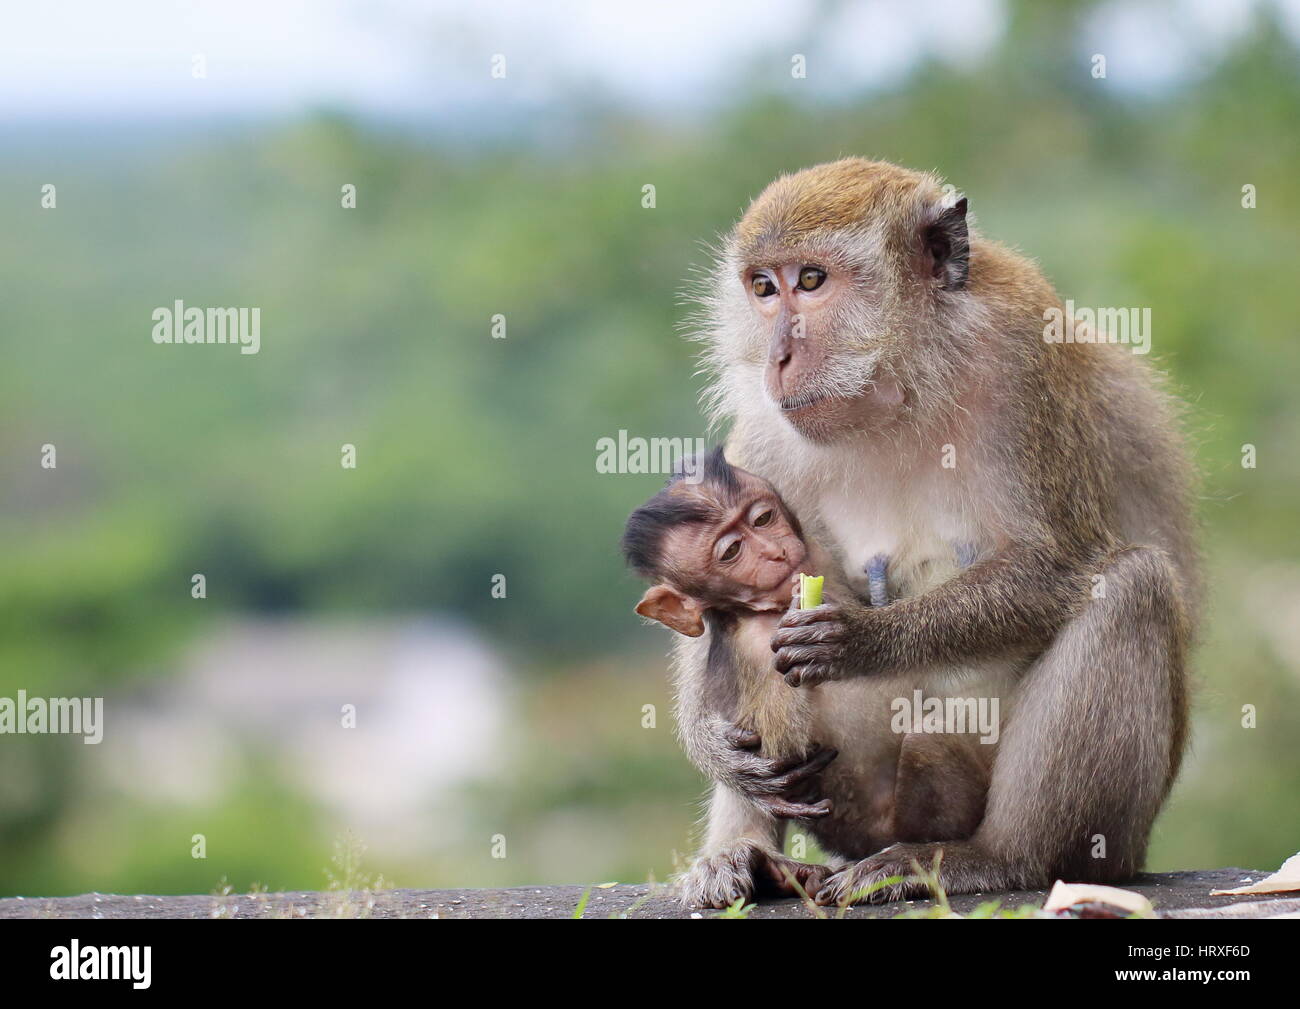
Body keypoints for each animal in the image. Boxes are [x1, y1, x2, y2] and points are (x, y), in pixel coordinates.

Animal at [624, 446, 993, 907]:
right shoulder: (756, 647)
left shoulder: (816, 555)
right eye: (732, 551)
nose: (775, 553)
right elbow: (780, 738)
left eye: (762, 518)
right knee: (933, 739)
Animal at [666, 157, 1196, 907]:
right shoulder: (772, 426)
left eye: (811, 281)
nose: (778, 357)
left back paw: (995, 855)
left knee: (1131, 587)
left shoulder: (1021, 360)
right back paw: (744, 855)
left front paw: (863, 639)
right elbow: (719, 579)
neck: (904, 381)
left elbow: (1056, 564)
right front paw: (706, 738)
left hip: (1079, 823)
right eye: (764, 288)